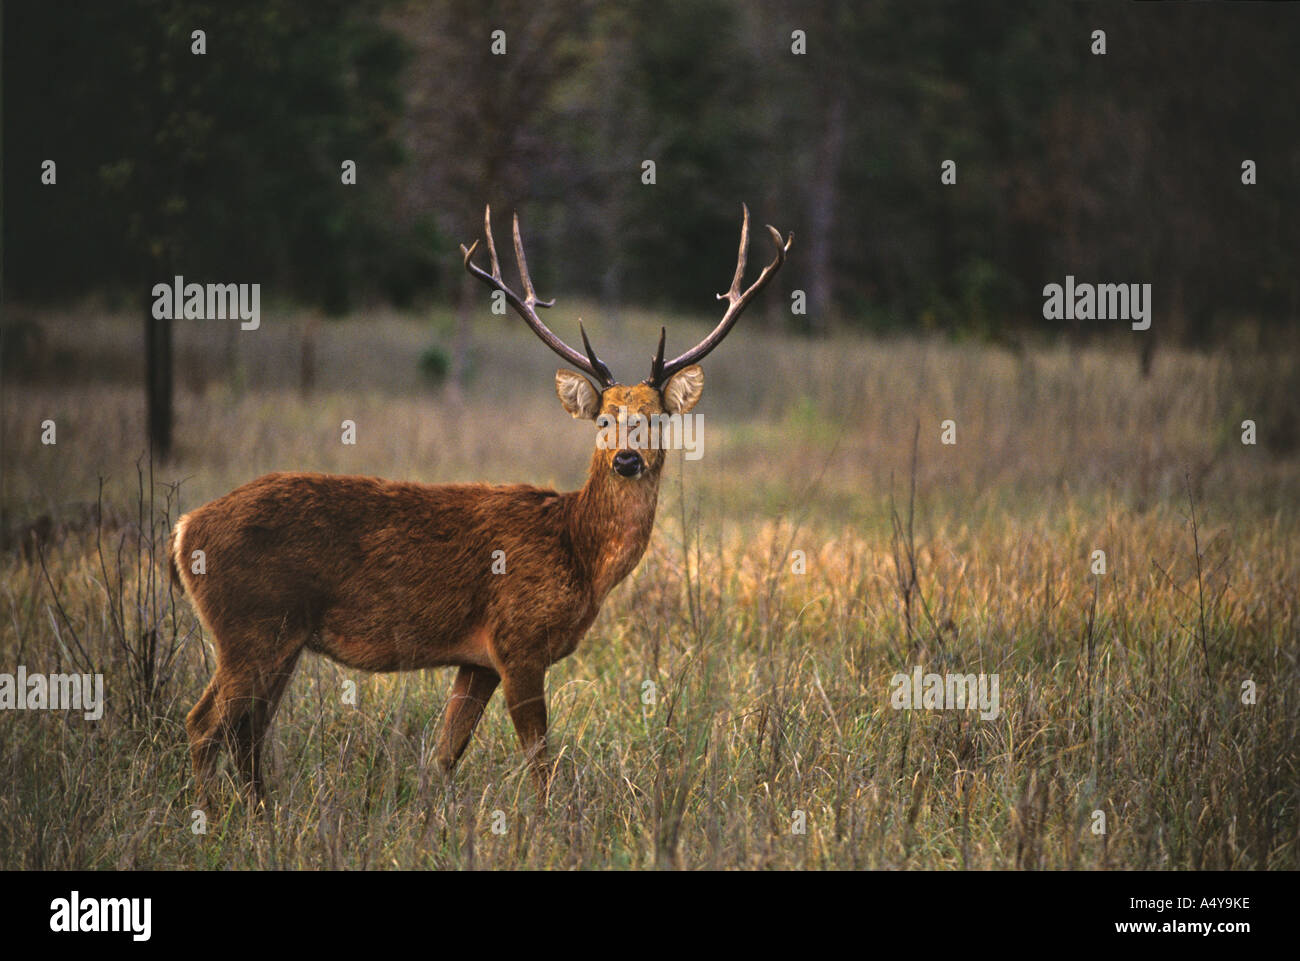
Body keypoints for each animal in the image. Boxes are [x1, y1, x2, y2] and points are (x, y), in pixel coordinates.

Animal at [169, 204, 792, 807]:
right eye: (604, 419)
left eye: (657, 417)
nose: (626, 460)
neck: (578, 551)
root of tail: (183, 530)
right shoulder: (518, 640)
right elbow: (540, 762)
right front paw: (547, 824)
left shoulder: (476, 660)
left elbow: (442, 757)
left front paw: (427, 818)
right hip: (251, 625)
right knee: (205, 725)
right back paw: (214, 819)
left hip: (280, 636)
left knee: (247, 731)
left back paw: (261, 813)